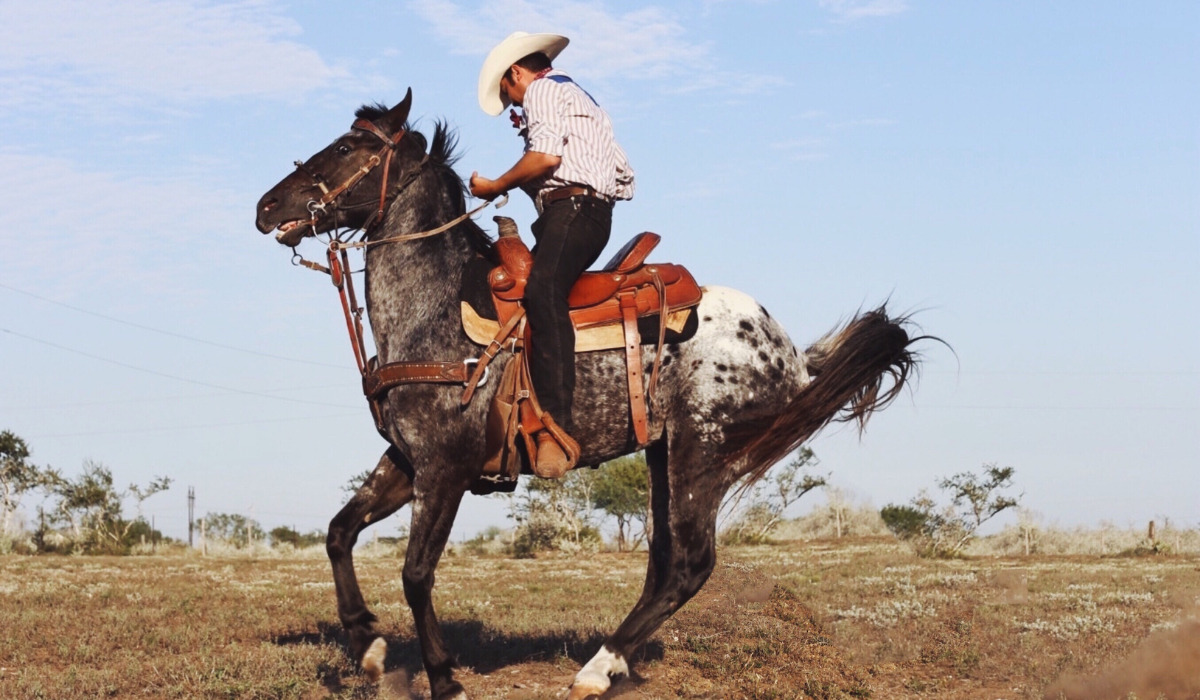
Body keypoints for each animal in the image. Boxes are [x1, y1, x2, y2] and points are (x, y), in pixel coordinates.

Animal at [255, 89, 923, 700]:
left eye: (347, 147)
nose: (266, 207)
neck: (439, 309)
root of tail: (792, 357)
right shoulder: (406, 459)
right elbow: (339, 532)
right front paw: (367, 646)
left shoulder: (446, 468)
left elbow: (417, 574)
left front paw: (444, 679)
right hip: (663, 455)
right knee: (663, 562)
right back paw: (613, 664)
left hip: (703, 452)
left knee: (690, 564)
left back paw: (596, 670)